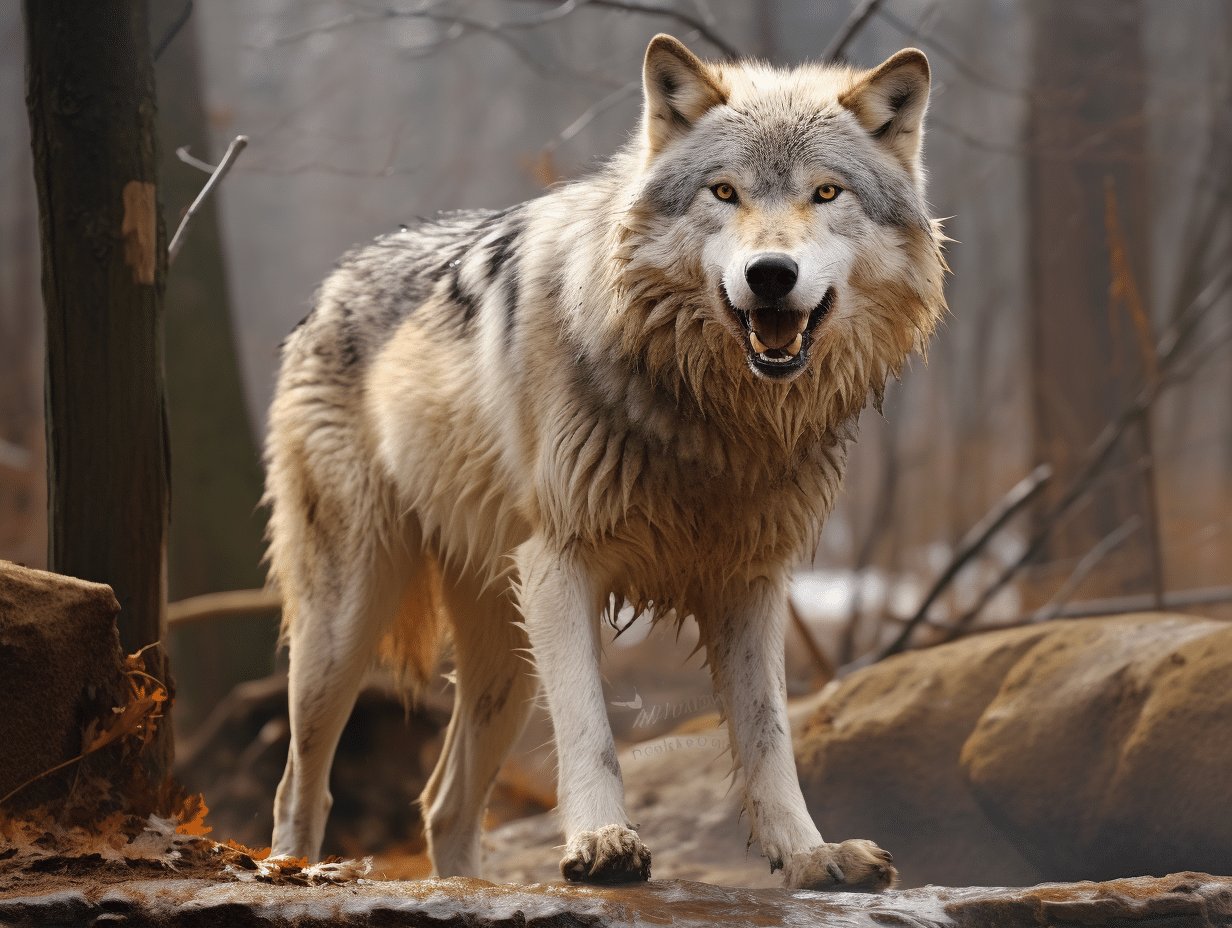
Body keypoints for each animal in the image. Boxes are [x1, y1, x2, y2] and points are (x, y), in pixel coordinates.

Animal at [263, 34, 946, 890]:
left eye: (826, 193)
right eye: (724, 191)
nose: (770, 275)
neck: (715, 419)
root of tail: (331, 283)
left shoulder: (751, 583)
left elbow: (769, 738)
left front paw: (809, 855)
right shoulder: (562, 565)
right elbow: (591, 731)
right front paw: (601, 844)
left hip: (504, 657)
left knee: (443, 801)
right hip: (349, 625)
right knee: (302, 784)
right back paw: (290, 872)